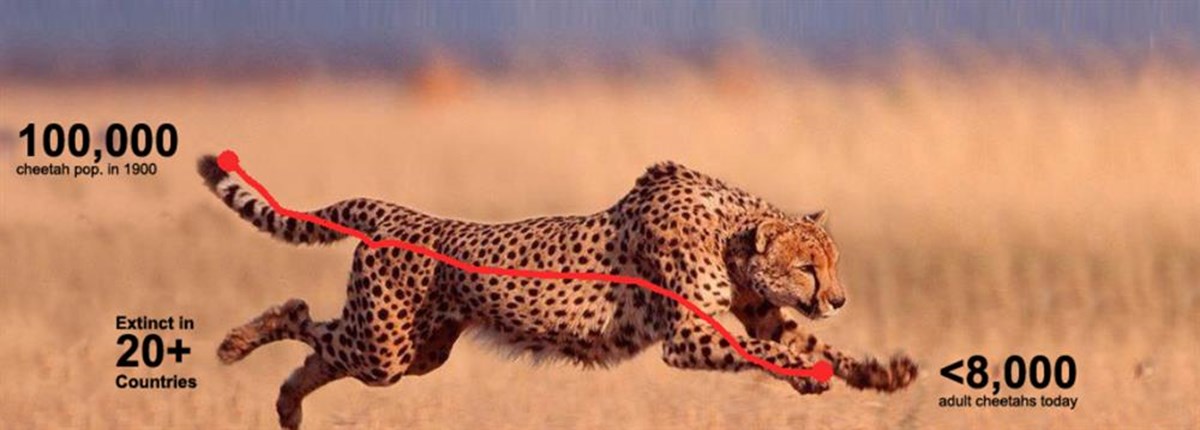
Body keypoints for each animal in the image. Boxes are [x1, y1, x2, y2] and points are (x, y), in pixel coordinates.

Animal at [198, 153, 917, 429]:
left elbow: (804, 342)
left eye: (833, 266)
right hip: (383, 343)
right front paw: (804, 376)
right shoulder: (686, 336)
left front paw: (881, 372)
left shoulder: (757, 314)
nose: (839, 299)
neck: (727, 229)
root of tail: (402, 214)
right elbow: (765, 351)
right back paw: (238, 345)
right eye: (809, 269)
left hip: (414, 354)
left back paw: (287, 405)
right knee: (302, 317)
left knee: (320, 352)